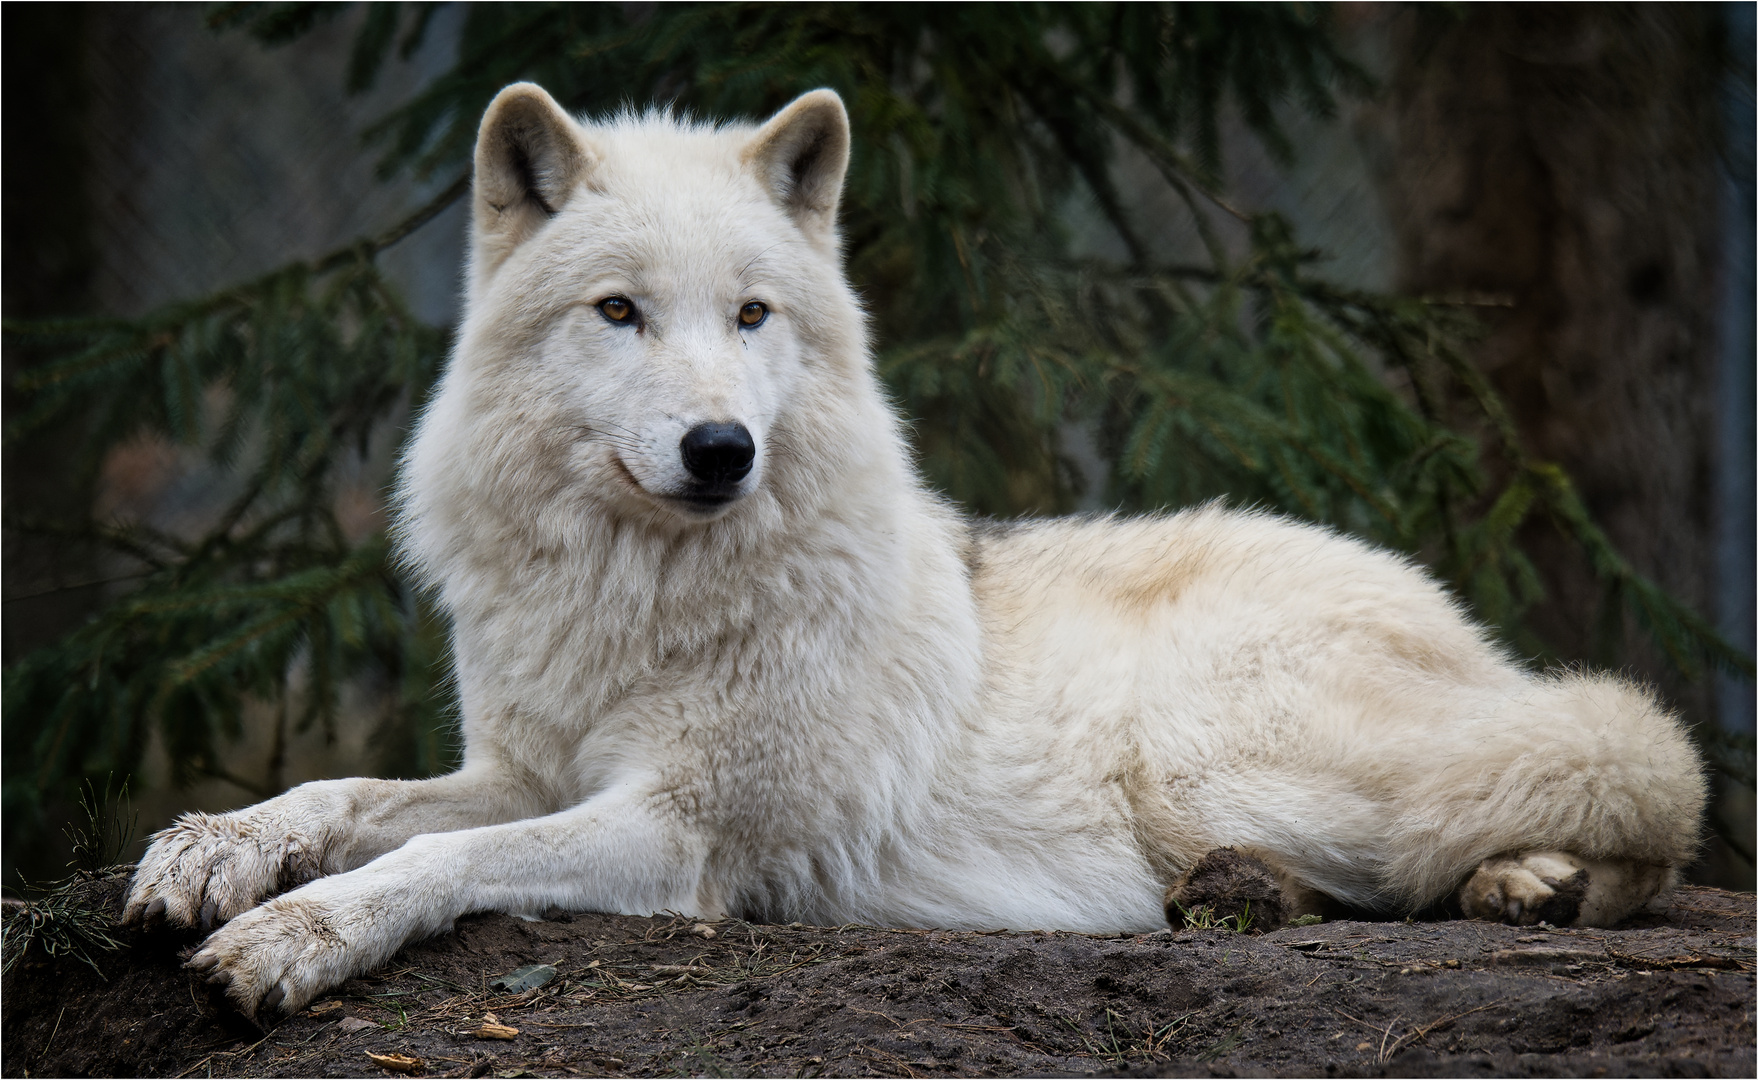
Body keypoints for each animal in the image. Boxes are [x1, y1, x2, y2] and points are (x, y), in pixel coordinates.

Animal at [125, 84, 1705, 1018]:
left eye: (752, 315)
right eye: (621, 312)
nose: (721, 448)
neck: (636, 593)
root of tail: (1441, 605)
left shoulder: (678, 831)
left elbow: (437, 860)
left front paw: (293, 936)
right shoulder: (522, 766)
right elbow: (346, 796)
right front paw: (210, 850)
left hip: (1223, 761)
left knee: (1633, 770)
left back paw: (1526, 880)